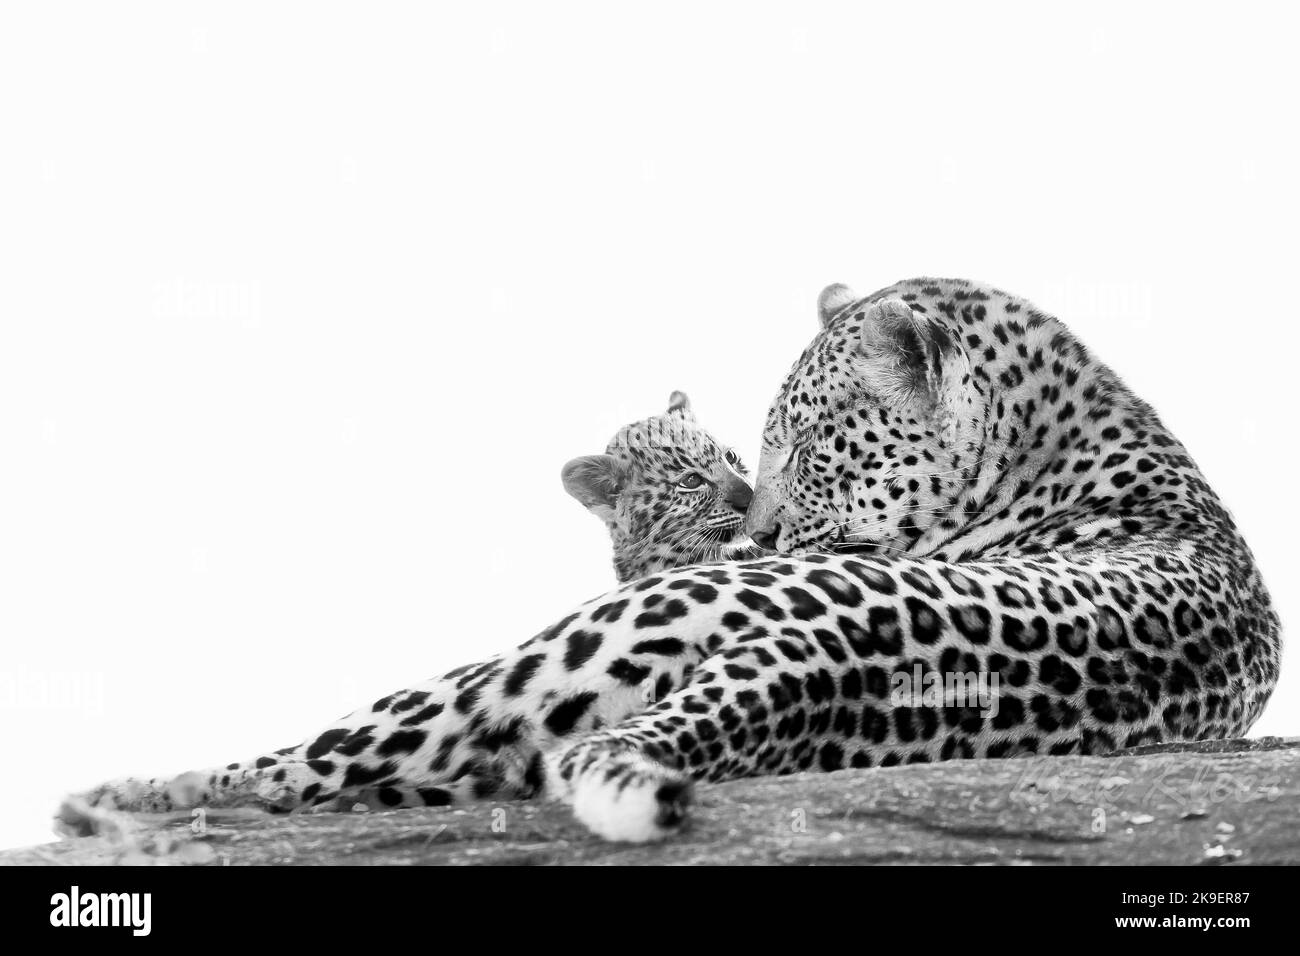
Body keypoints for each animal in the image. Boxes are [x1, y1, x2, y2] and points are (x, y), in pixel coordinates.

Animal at [68, 278, 1279, 842]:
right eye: (762, 444)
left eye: (805, 443)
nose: (756, 530)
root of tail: (810, 663)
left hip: (517, 668)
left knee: (307, 761)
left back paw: (120, 794)